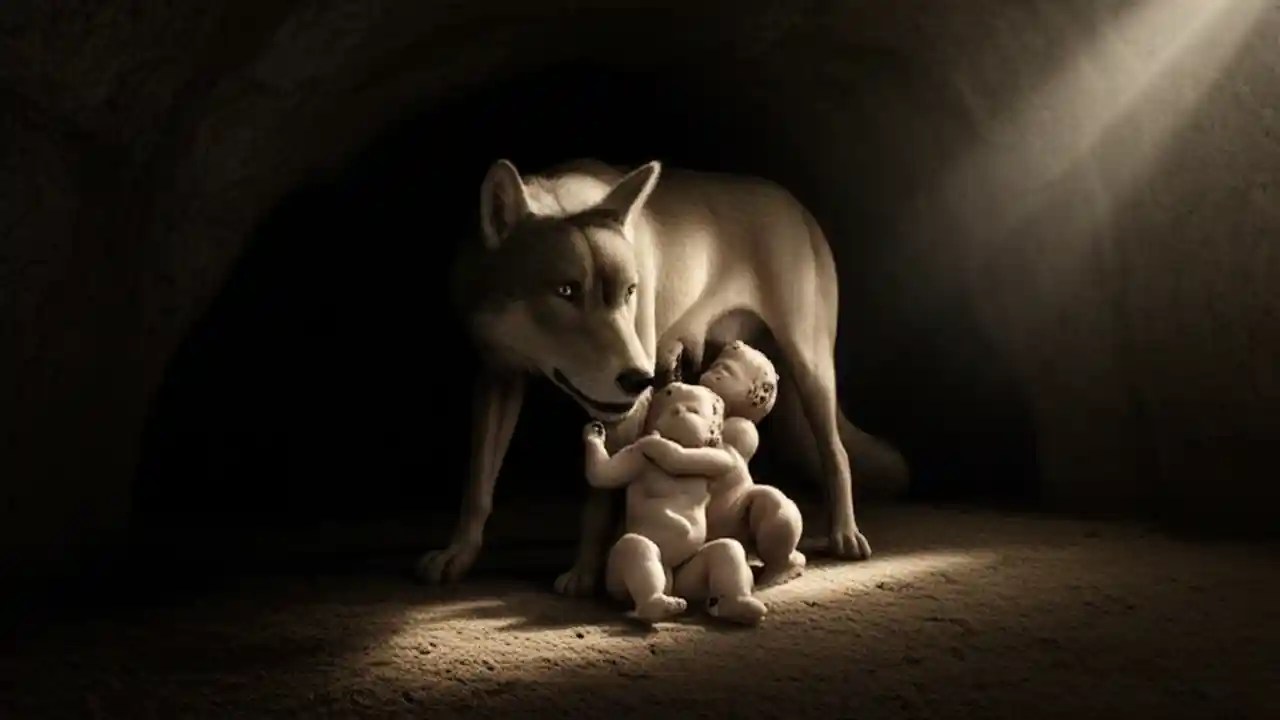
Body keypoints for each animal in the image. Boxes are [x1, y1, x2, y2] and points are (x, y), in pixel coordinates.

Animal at [416, 157, 909, 595]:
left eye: (629, 292)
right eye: (566, 291)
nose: (640, 380)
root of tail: (796, 204)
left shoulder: (623, 413)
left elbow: (598, 499)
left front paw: (585, 574)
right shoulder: (497, 377)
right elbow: (478, 481)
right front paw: (458, 555)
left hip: (811, 369)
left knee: (835, 453)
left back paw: (844, 533)